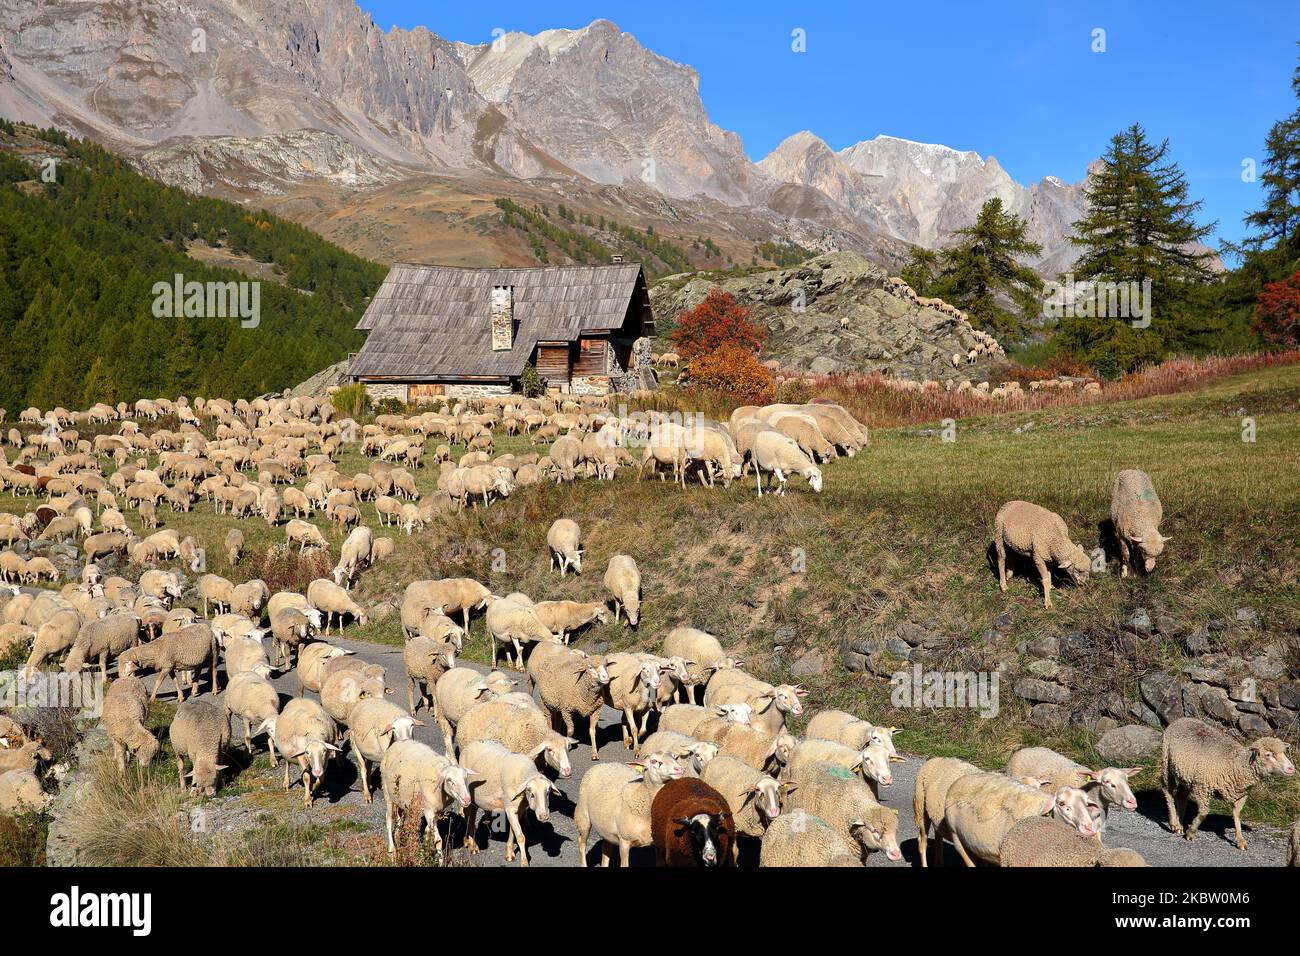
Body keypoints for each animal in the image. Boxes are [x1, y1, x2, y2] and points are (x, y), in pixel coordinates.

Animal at [1160, 716, 1295, 850]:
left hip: (1186, 776)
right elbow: (1203, 813)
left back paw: (1180, 823)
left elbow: (1236, 814)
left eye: (1283, 753)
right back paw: (1174, 823)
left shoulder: (1241, 794)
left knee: (1181, 794)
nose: (1291, 768)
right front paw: (1191, 833)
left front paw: (1240, 840)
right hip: (1166, 761)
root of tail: (1183, 718)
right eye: (1269, 754)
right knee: (1168, 790)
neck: (1236, 764)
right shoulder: (1201, 787)